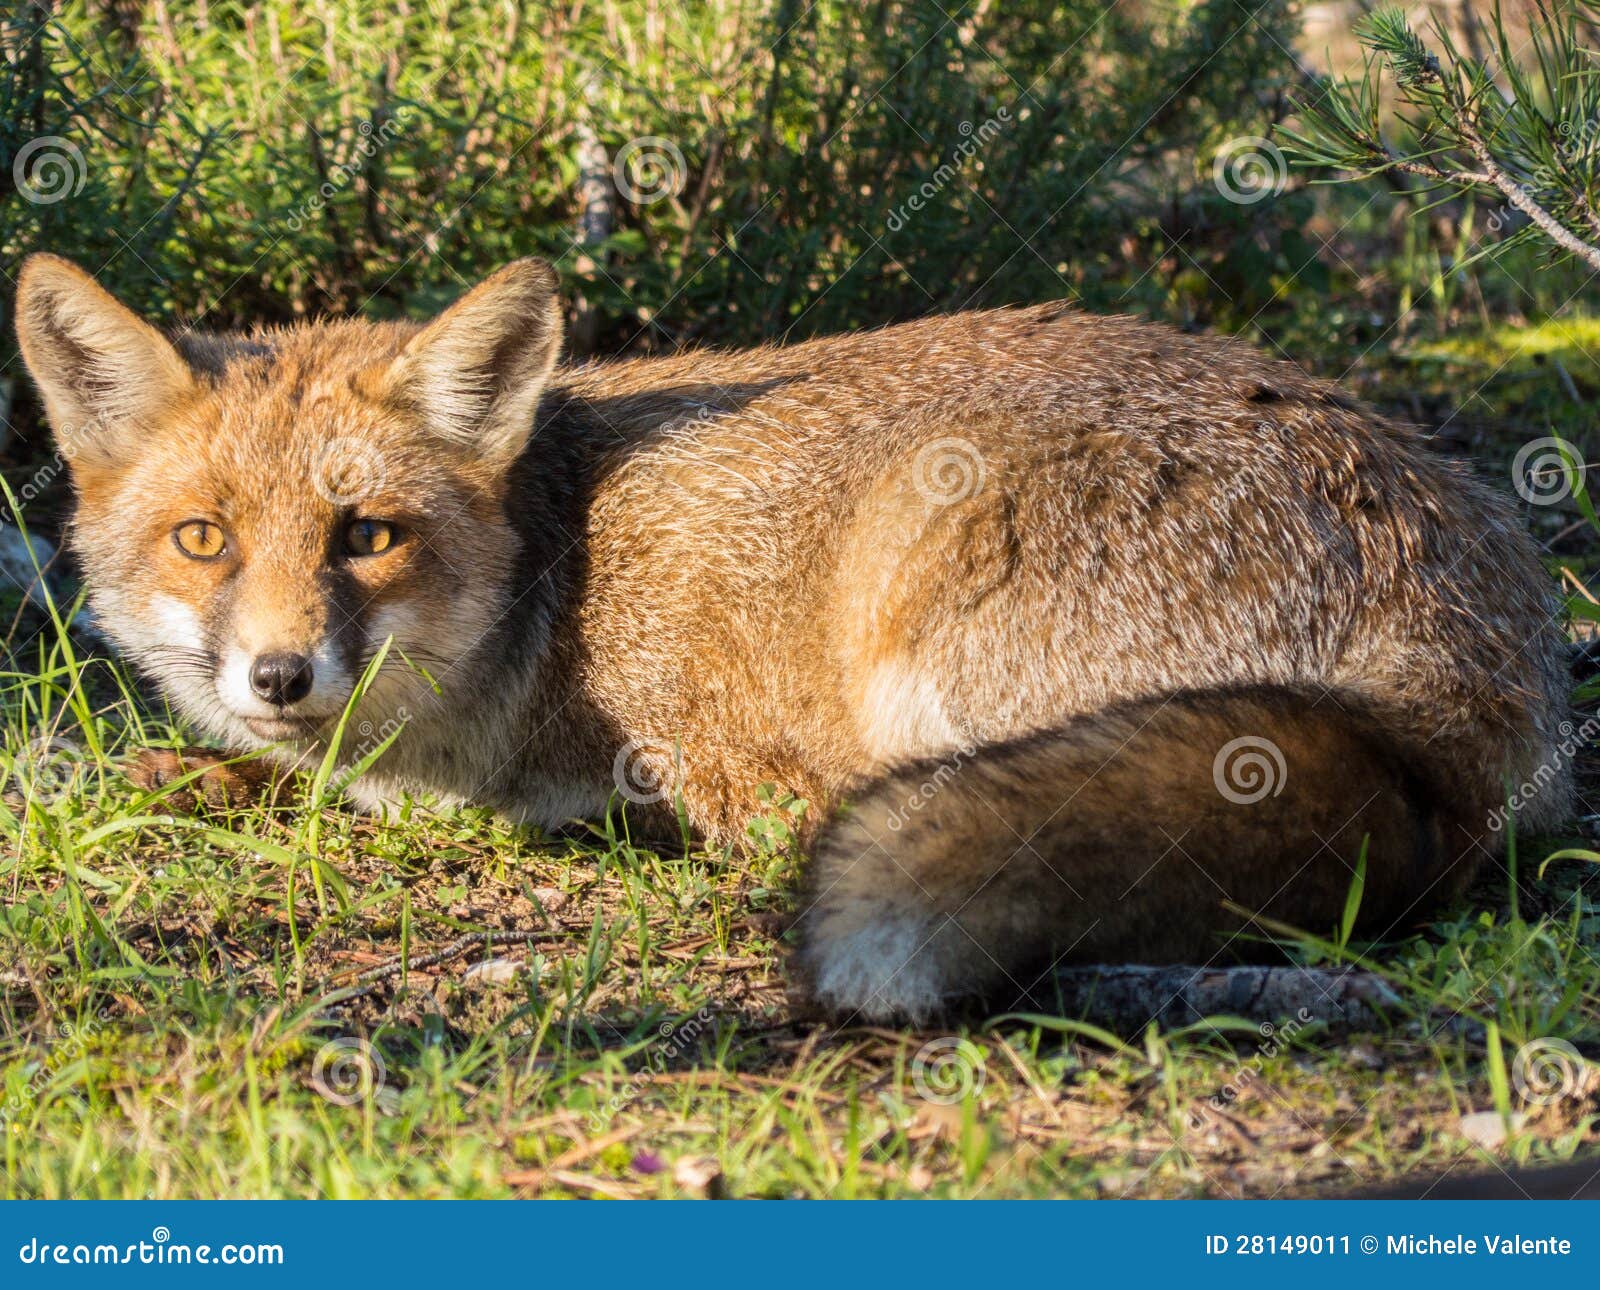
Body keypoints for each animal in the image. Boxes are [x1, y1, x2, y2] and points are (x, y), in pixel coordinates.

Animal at [14, 252, 1572, 1022]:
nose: (280, 674)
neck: (566, 571)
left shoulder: (723, 756)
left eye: (365, 536)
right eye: (203, 539)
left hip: (921, 577)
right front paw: (191, 772)